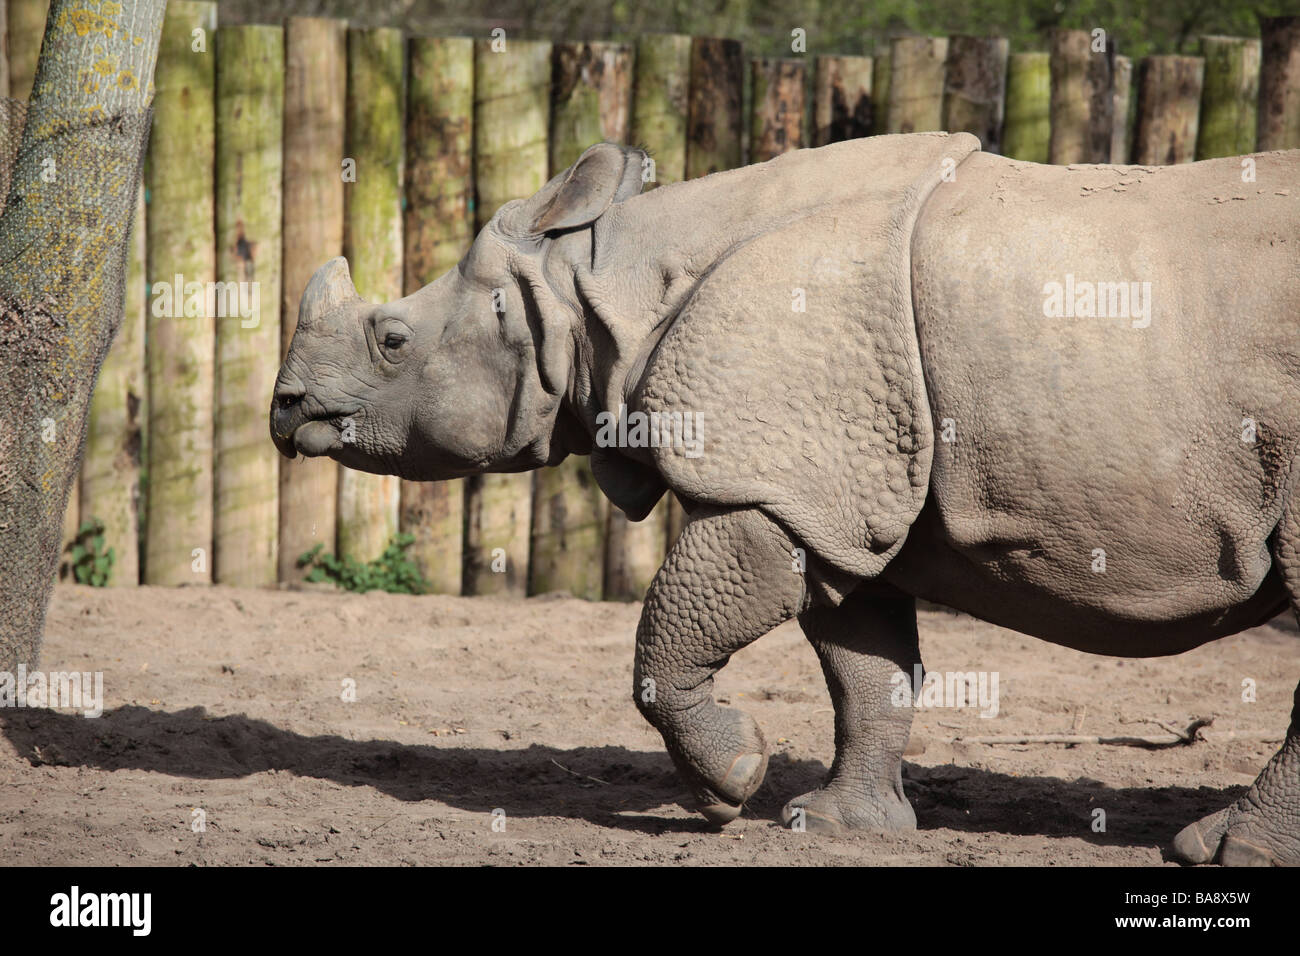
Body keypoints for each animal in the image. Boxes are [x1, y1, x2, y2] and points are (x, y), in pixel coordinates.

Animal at [270, 133, 1300, 865]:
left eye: (392, 341)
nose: (284, 410)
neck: (600, 286)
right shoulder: (833, 487)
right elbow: (866, 668)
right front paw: (838, 826)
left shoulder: (769, 483)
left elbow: (667, 636)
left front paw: (732, 782)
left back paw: (1222, 852)